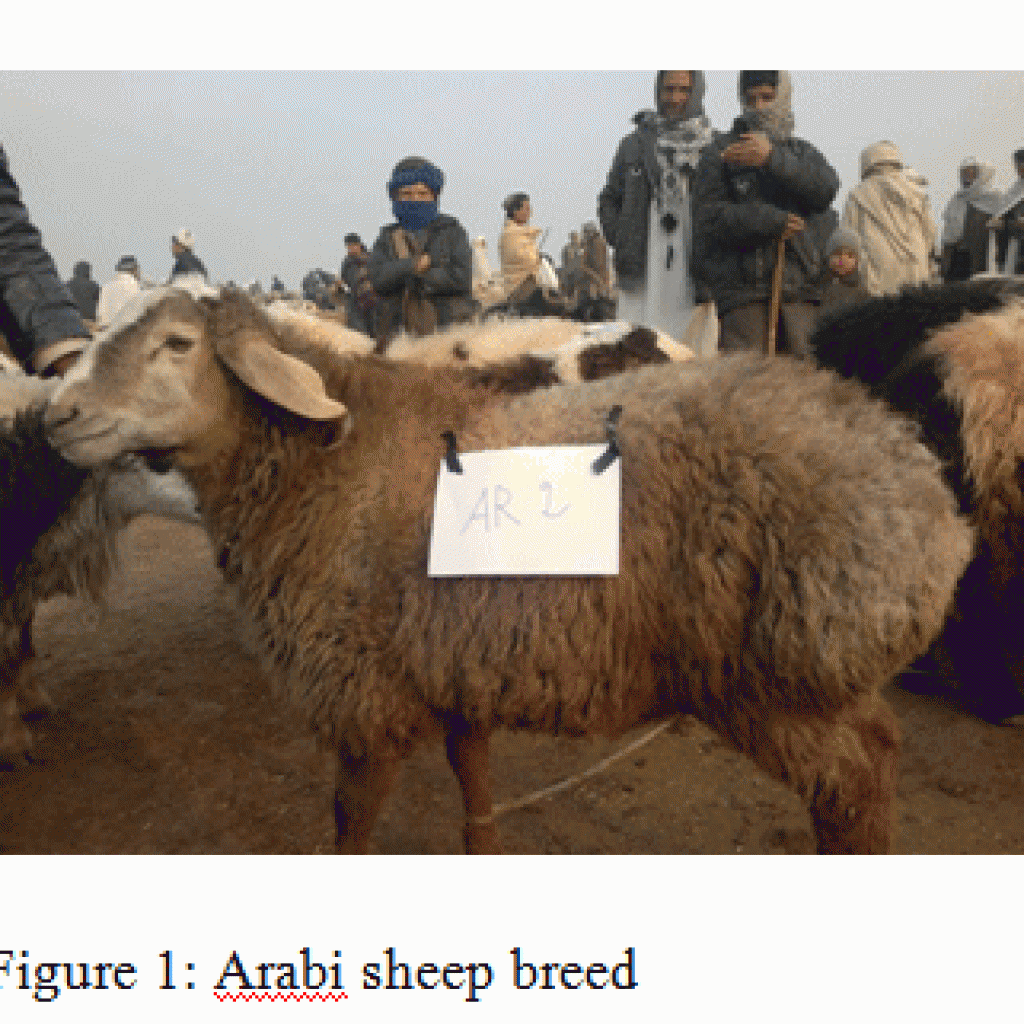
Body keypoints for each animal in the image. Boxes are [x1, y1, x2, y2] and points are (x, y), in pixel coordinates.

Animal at [45, 286, 973, 854]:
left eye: (176, 343)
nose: (58, 415)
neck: (329, 458)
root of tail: (925, 497)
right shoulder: (457, 661)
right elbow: (476, 784)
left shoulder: (364, 695)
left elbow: (351, 823)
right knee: (878, 747)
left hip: (777, 681)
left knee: (857, 779)